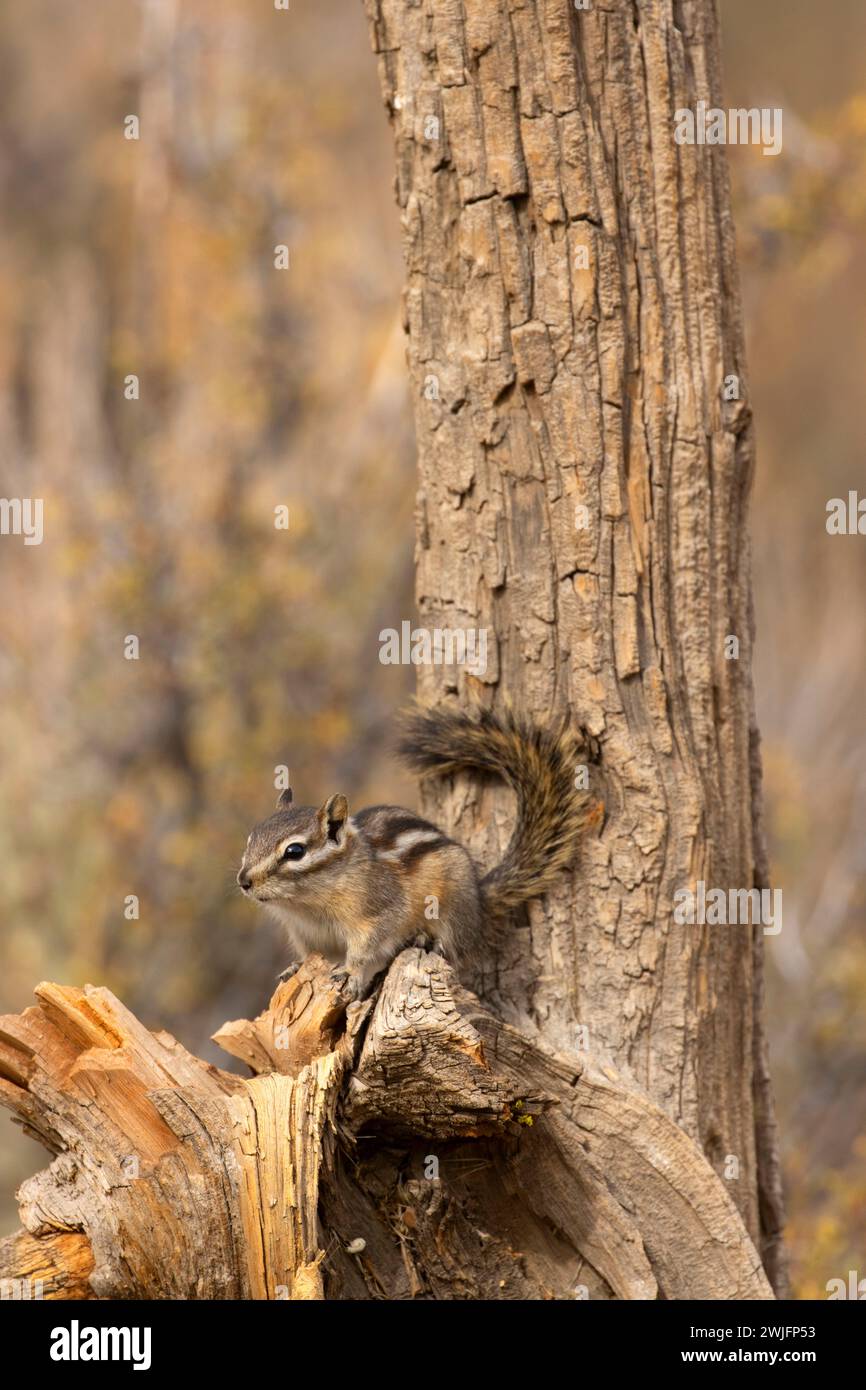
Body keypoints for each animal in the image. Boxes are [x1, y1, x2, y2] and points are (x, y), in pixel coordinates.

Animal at [237, 705, 599, 1001]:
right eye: (251, 838)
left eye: (295, 851)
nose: (244, 881)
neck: (308, 903)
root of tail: (480, 904)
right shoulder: (304, 933)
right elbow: (307, 954)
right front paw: (295, 967)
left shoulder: (378, 912)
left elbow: (364, 949)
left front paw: (351, 974)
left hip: (452, 901)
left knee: (455, 945)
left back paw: (429, 939)